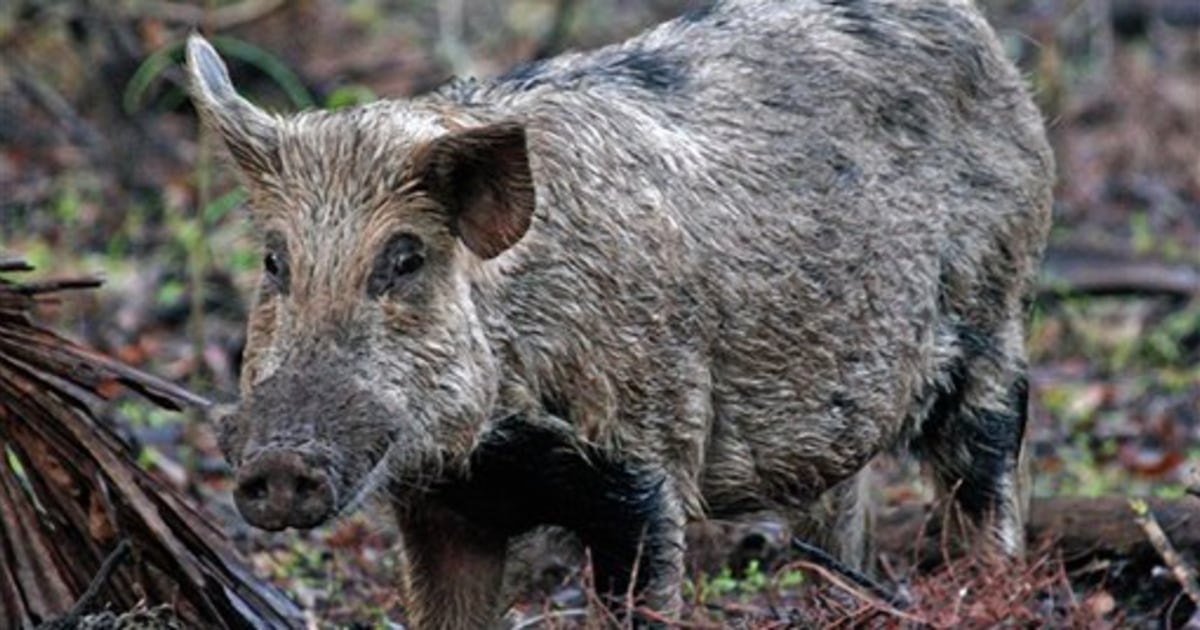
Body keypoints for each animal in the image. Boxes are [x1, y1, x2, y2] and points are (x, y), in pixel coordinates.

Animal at [187, 0, 1053, 626]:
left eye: (404, 259)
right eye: (276, 263)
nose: (277, 465)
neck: (497, 446)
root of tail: (987, 41)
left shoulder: (646, 466)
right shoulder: (440, 508)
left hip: (994, 319)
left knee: (989, 475)